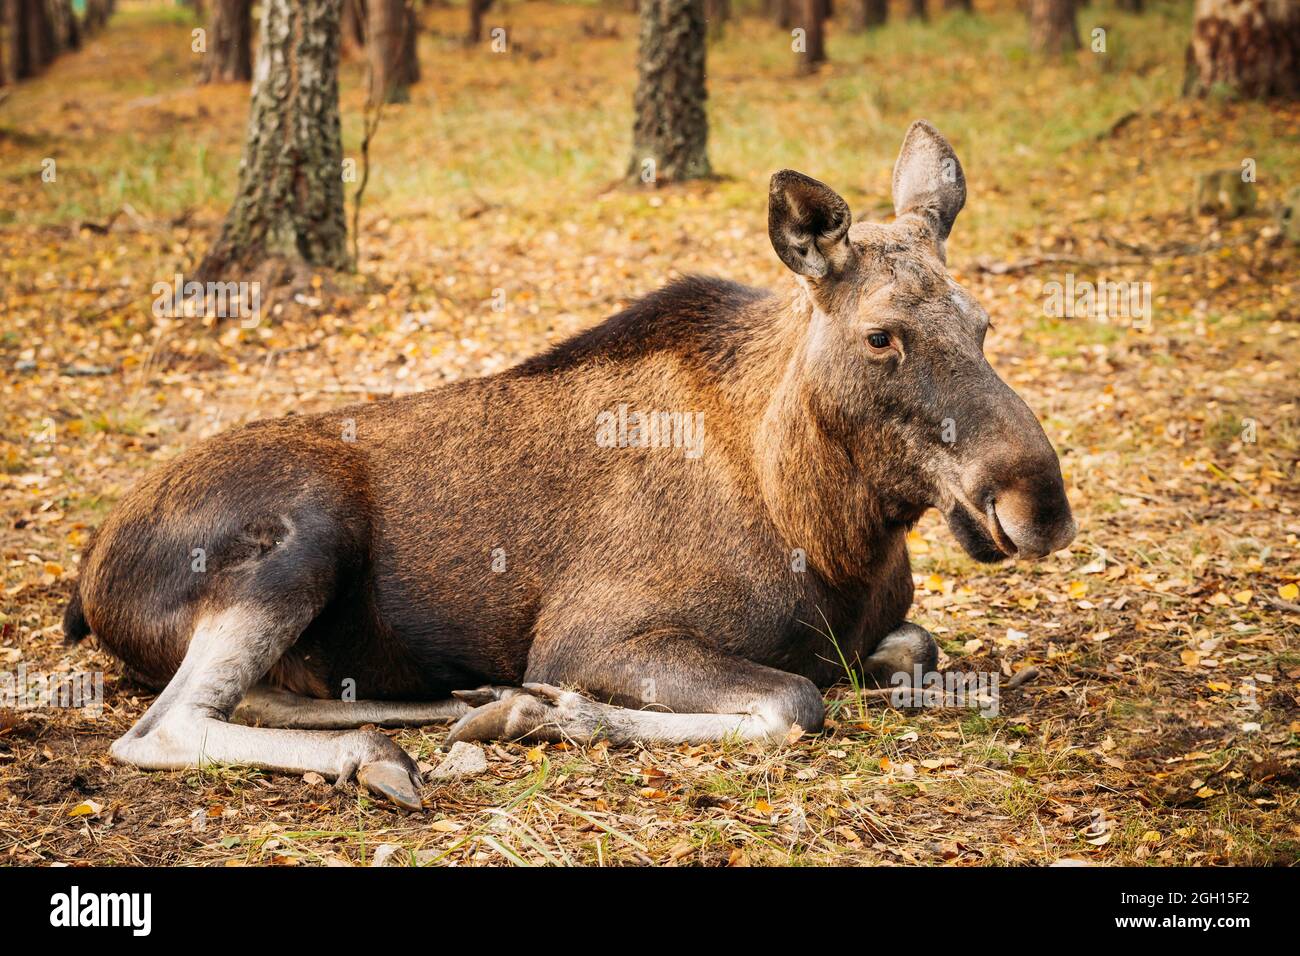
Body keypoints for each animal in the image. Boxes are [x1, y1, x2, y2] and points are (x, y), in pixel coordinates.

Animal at [63, 122, 1076, 810]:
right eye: (880, 335)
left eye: (984, 323)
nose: (1039, 503)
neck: (825, 530)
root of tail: (86, 579)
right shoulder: (593, 637)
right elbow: (794, 701)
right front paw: (548, 713)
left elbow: (913, 646)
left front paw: (514, 705)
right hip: (305, 531)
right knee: (161, 728)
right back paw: (388, 751)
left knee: (259, 702)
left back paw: (450, 706)